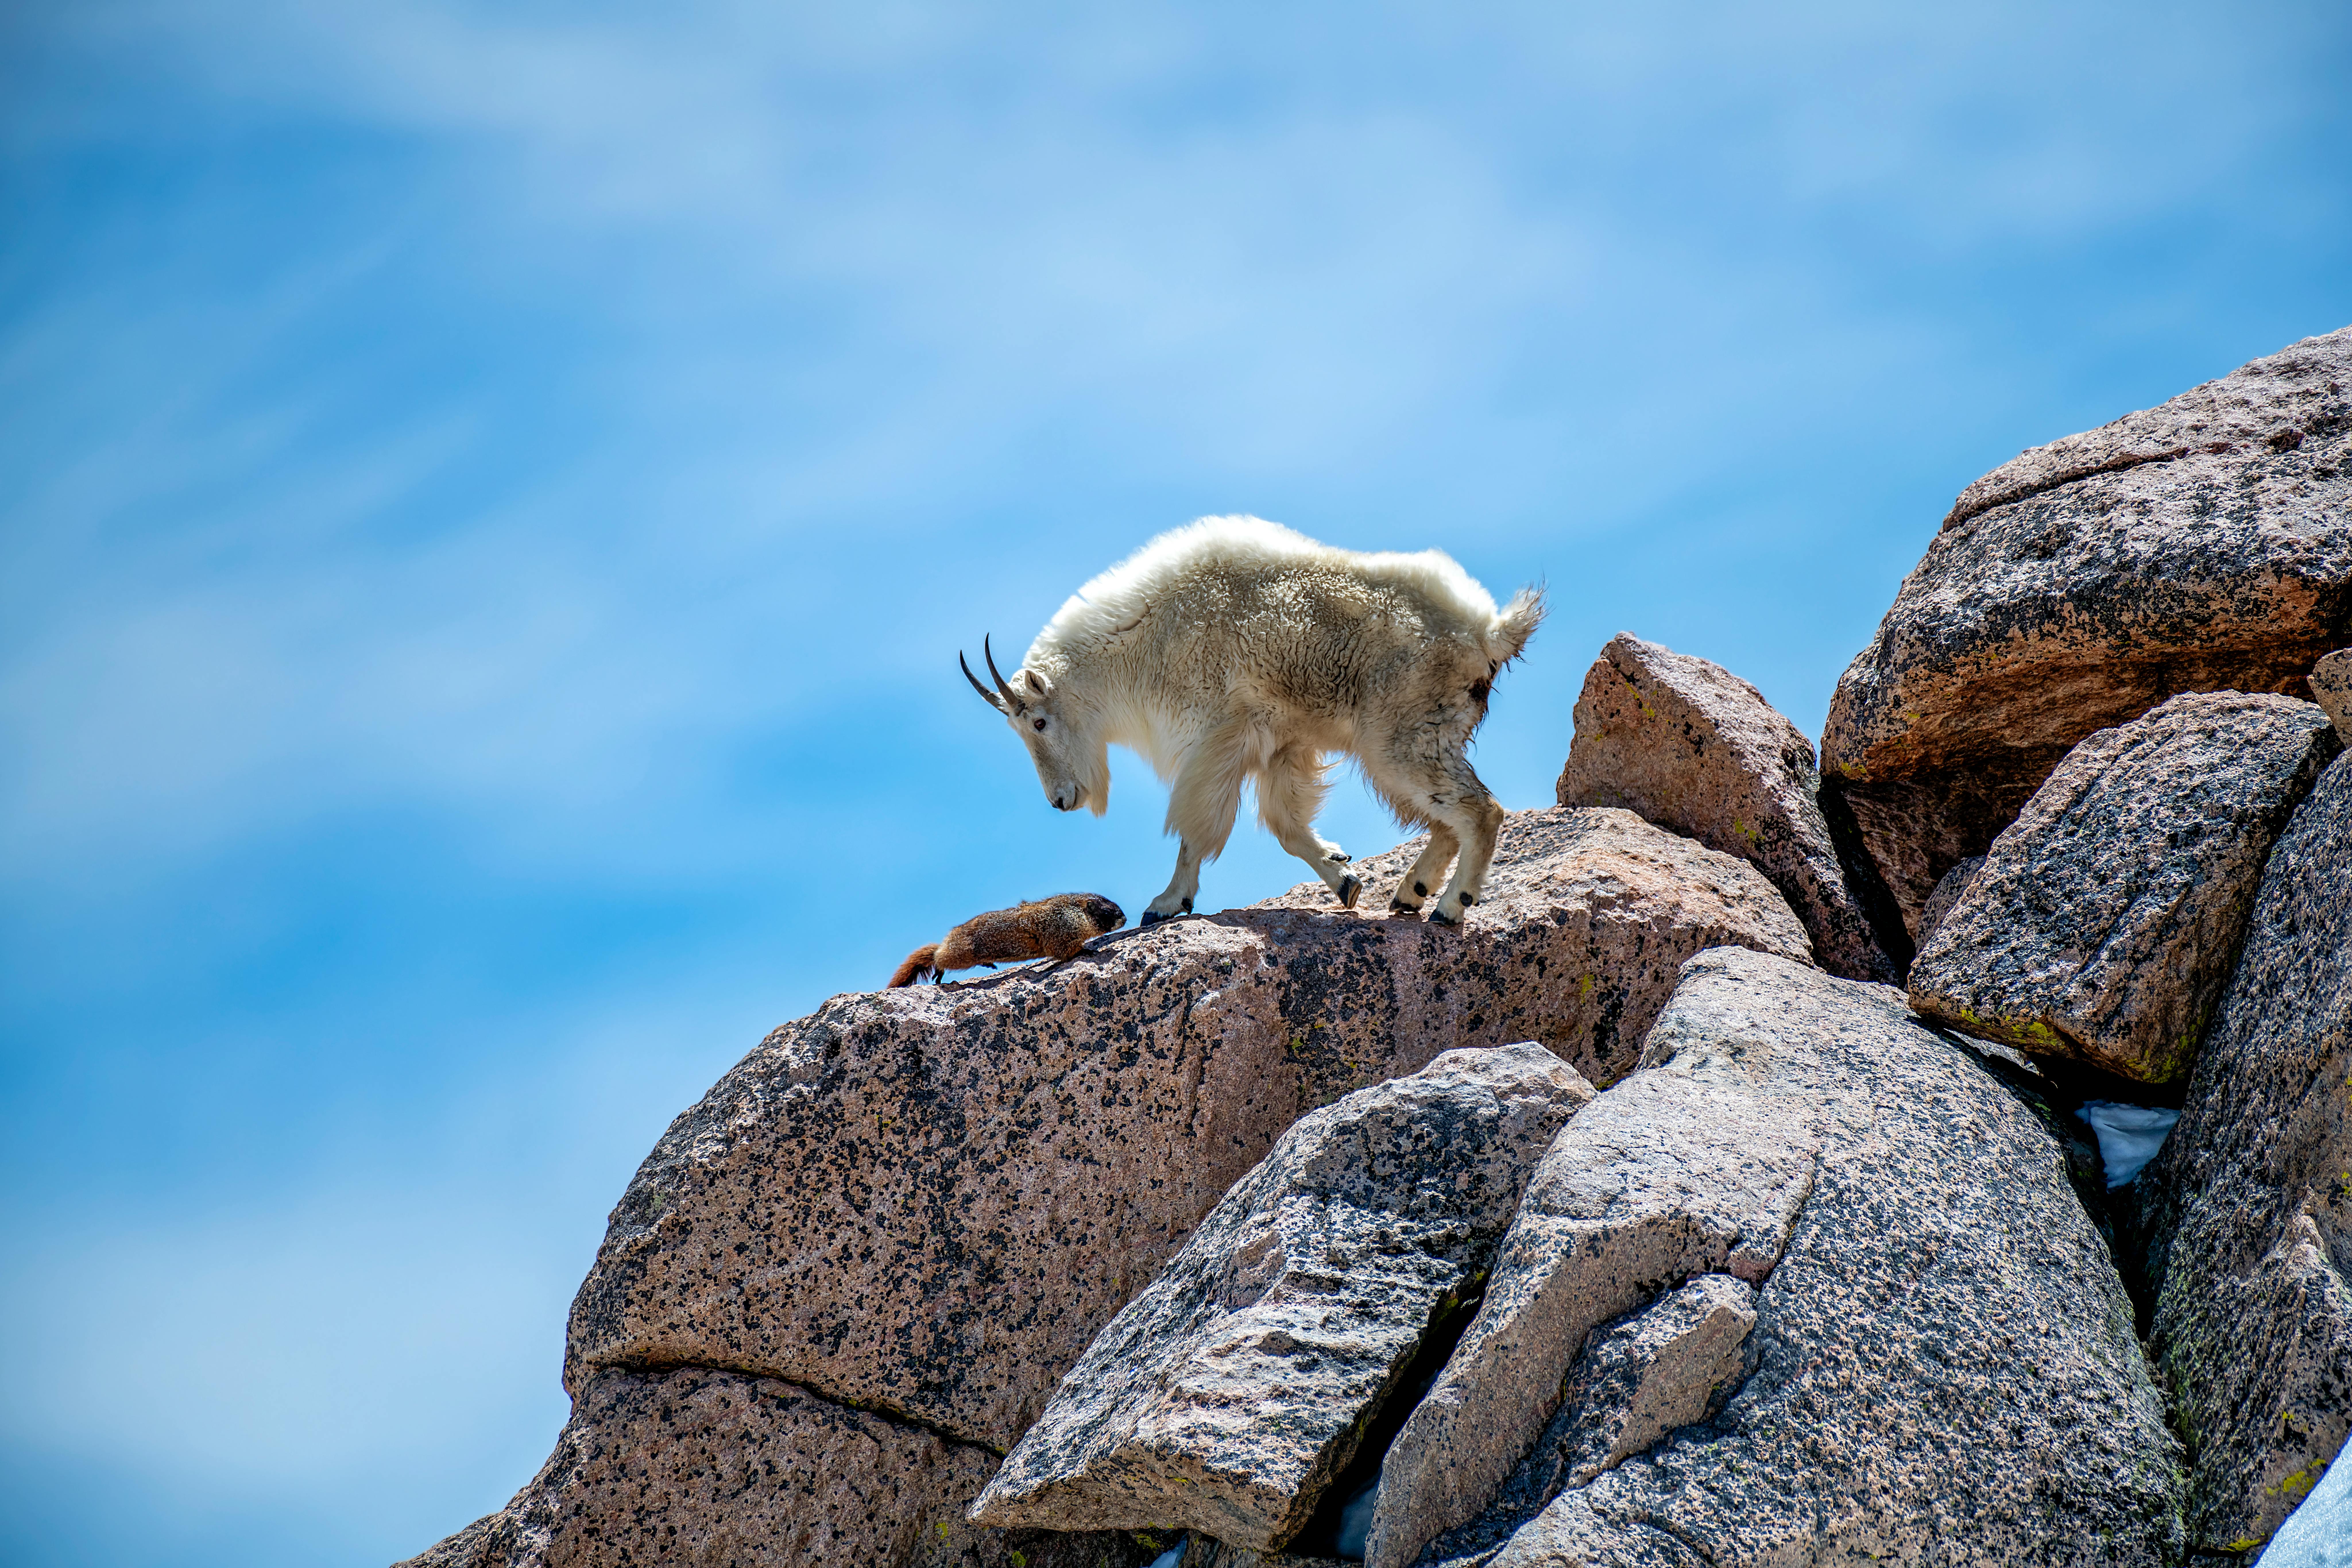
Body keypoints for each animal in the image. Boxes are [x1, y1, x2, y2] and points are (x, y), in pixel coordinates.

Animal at [960, 516, 1541, 925]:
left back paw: (1448, 907)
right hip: (1407, 742)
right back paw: (1408, 895)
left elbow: (1195, 827)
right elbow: (1287, 827)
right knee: (1447, 820)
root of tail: (1489, 632)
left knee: (1480, 811)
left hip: (1402, 737)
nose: (1061, 800)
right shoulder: (1284, 744)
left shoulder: (1215, 739)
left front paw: (1167, 902)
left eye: (1038, 723)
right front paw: (1344, 879)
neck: (1145, 638)